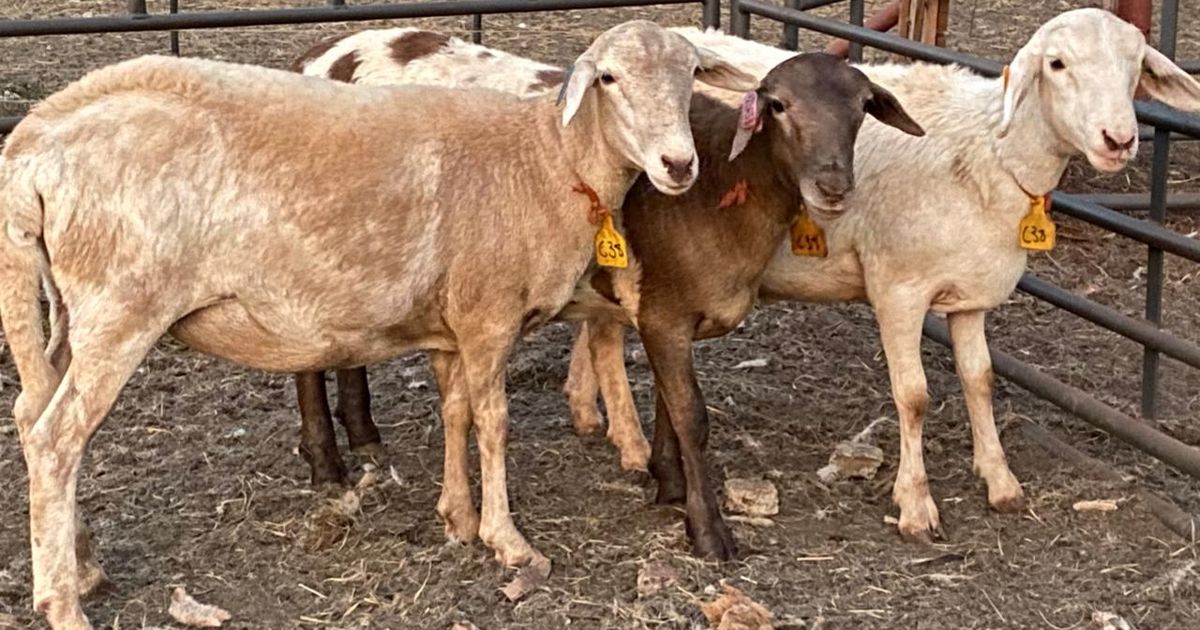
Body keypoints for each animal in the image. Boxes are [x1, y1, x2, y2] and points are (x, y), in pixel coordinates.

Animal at [0, 21, 759, 627]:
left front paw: (457, 518)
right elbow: (494, 420)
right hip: (119, 306)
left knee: (31, 414)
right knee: (57, 439)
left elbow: (456, 410)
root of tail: (35, 141)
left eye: (691, 76)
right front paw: (507, 540)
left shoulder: (451, 320)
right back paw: (63, 604)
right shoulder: (487, 312)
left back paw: (83, 564)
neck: (543, 158)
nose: (679, 164)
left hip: (66, 311)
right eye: (608, 78)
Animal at [287, 29, 924, 558]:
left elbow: (668, 405)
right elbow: (691, 416)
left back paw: (364, 434)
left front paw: (667, 484)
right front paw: (707, 531)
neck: (723, 183)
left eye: (862, 108)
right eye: (779, 106)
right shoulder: (664, 312)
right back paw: (326, 461)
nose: (833, 186)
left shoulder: (670, 317)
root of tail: (319, 54)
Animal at [566, 9, 1200, 543]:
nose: (1119, 140)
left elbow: (980, 380)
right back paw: (621, 436)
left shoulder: (970, 294)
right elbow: (913, 396)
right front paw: (916, 506)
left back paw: (588, 410)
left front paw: (1000, 481)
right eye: (1058, 64)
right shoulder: (898, 288)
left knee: (599, 325)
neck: (988, 154)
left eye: (1137, 65)